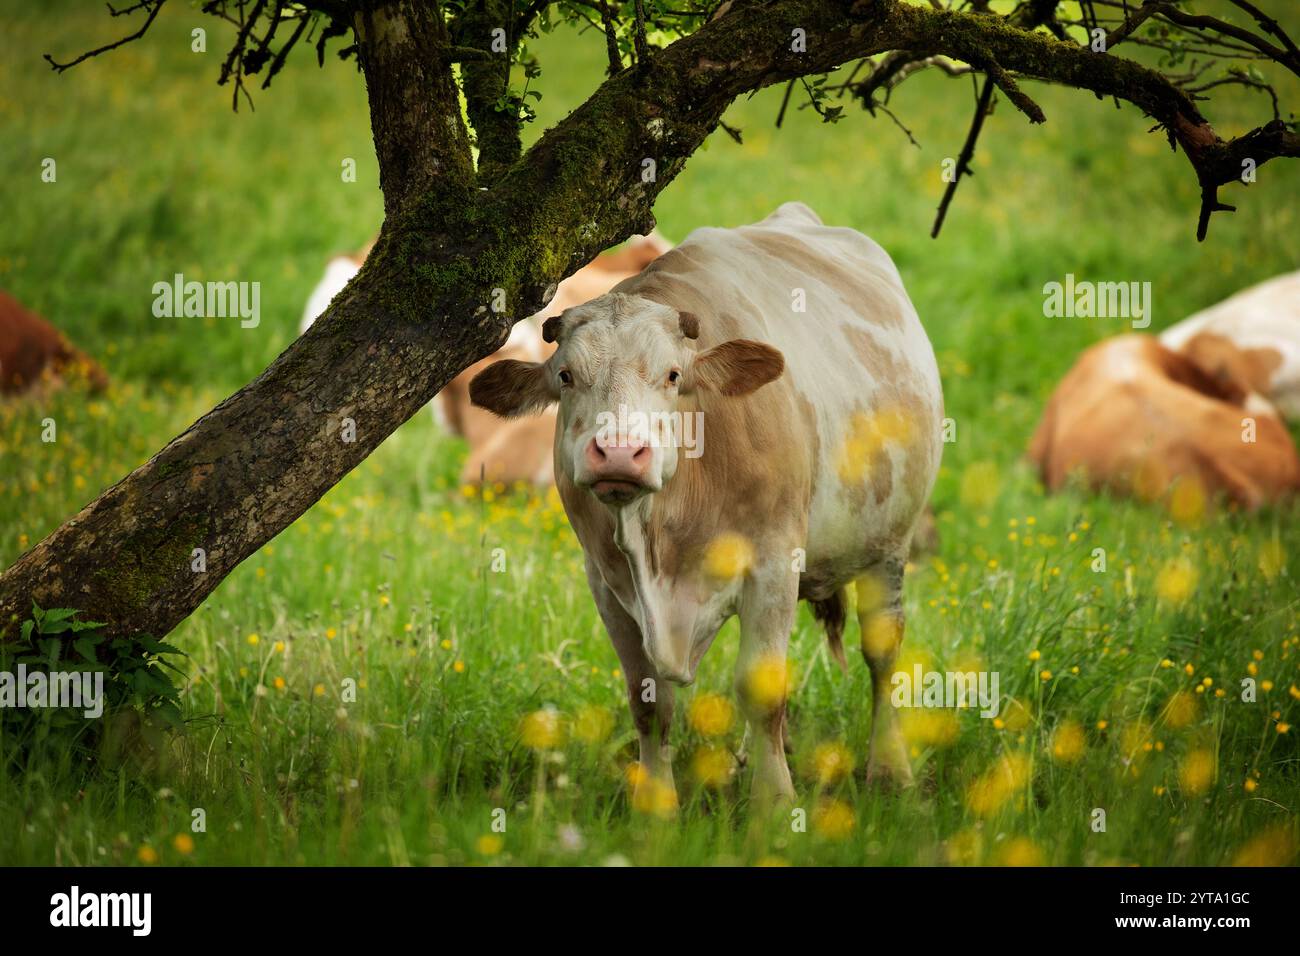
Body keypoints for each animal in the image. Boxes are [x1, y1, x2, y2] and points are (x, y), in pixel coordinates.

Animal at [469, 202, 944, 802]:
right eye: (566, 376)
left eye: (674, 376)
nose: (619, 452)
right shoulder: (605, 582)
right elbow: (648, 702)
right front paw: (657, 805)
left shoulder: (772, 564)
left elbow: (762, 691)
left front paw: (775, 803)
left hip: (888, 545)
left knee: (881, 654)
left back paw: (889, 768)